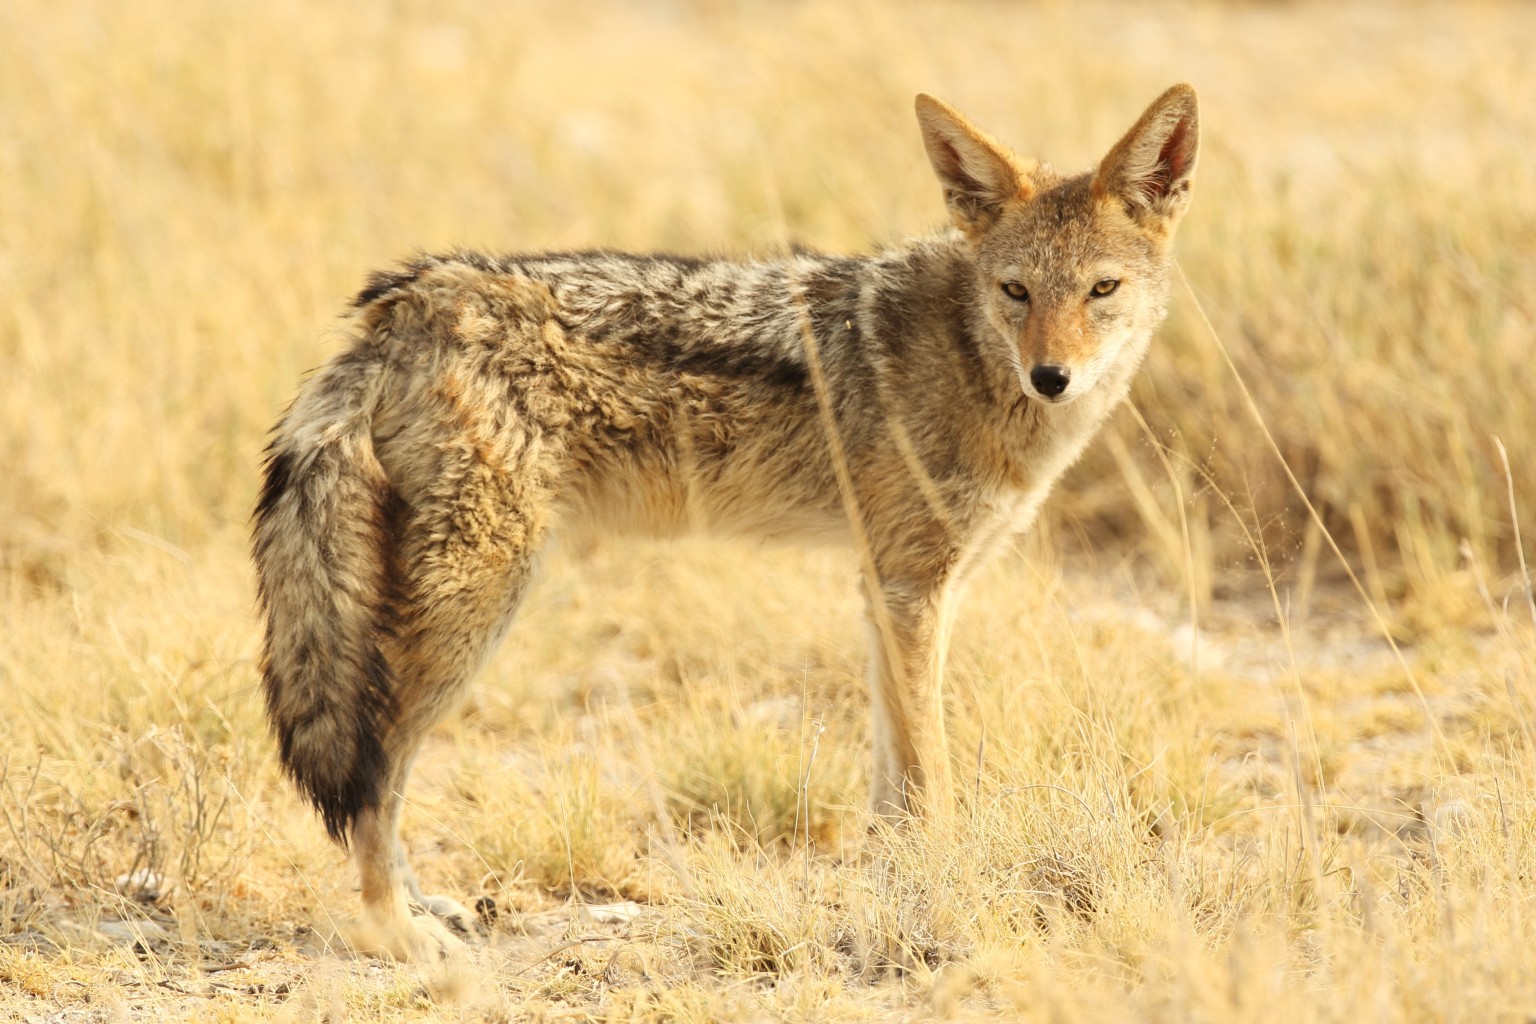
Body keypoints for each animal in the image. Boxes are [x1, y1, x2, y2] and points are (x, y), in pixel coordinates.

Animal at [252, 84, 1199, 959]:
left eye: (1101, 291)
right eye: (1016, 292)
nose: (1052, 377)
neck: (974, 364)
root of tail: (404, 301)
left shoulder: (891, 592)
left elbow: (892, 781)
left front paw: (895, 883)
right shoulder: (911, 590)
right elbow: (930, 779)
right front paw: (944, 892)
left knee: (382, 774)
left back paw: (424, 907)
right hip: (474, 610)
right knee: (373, 779)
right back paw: (396, 932)